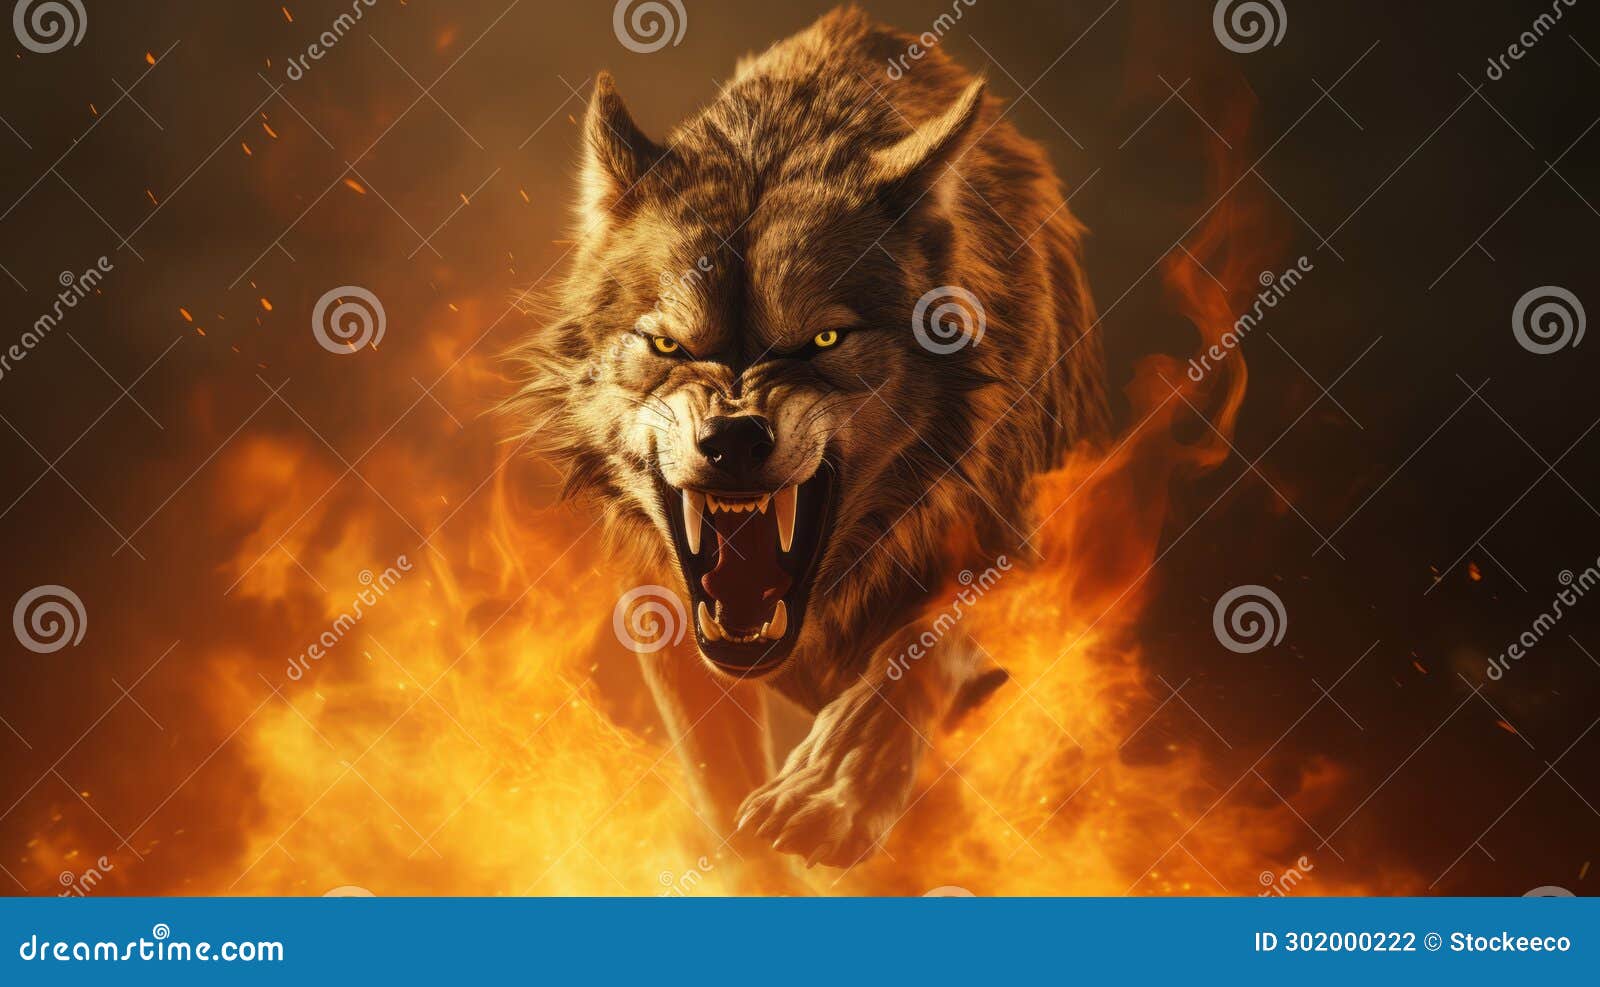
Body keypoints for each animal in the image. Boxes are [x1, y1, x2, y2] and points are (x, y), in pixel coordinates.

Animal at [506, 6, 1107, 871]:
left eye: (823, 339)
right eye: (668, 345)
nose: (731, 439)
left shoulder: (1034, 559)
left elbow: (919, 645)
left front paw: (836, 786)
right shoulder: (664, 620)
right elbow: (727, 812)